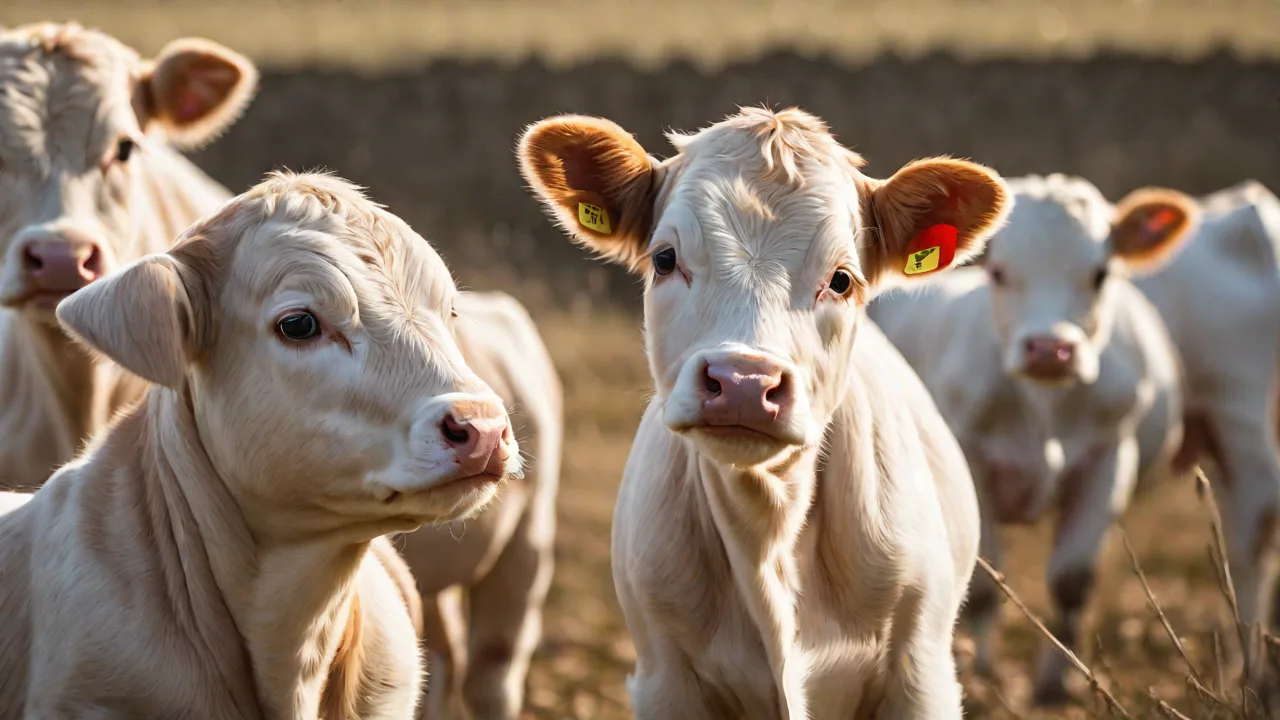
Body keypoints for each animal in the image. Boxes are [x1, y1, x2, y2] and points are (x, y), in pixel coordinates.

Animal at [517, 107, 1010, 719]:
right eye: (665, 259)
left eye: (841, 279)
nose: (744, 383)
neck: (768, 525)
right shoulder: (663, 677)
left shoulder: (921, 674)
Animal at [869, 173, 1193, 704]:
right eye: (999, 272)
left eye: (1100, 273)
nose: (1048, 349)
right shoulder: (973, 460)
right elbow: (981, 585)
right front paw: (981, 677)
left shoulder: (1109, 457)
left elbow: (1071, 580)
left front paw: (1057, 684)